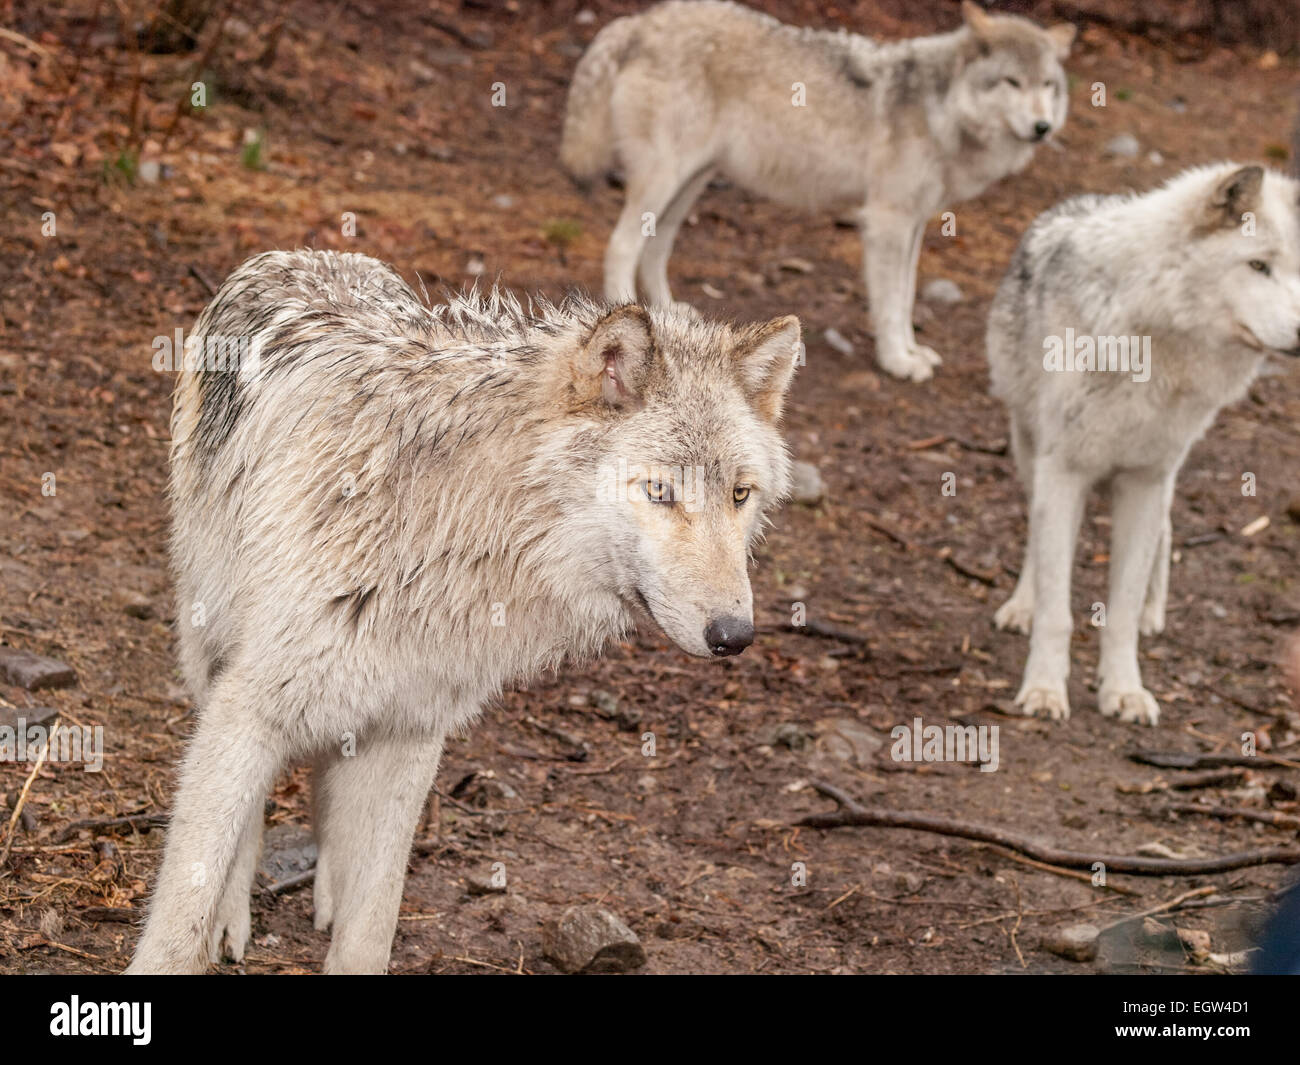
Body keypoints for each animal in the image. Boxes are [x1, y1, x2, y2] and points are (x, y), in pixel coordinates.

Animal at [126, 249, 801, 973]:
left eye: (740, 494)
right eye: (659, 491)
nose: (734, 635)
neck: (456, 529)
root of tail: (301, 254)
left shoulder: (413, 730)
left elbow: (374, 917)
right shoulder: (249, 706)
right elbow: (183, 906)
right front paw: (197, 931)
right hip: (213, 651)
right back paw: (233, 916)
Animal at [560, 0, 1074, 382]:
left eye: (1048, 85)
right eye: (1012, 82)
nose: (1043, 127)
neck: (939, 110)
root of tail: (641, 21)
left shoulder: (914, 225)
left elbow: (906, 295)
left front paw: (911, 352)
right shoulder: (887, 222)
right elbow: (890, 304)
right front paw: (896, 361)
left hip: (691, 183)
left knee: (656, 245)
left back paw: (666, 314)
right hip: (665, 178)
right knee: (621, 245)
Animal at [988, 163, 1300, 726]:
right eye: (1258, 265)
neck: (1157, 340)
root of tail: (1078, 198)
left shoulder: (1146, 480)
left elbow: (1123, 610)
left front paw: (1124, 690)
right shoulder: (1063, 471)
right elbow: (1056, 608)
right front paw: (1044, 689)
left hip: (1168, 472)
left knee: (1166, 532)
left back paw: (1155, 613)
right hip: (1029, 450)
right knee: (1036, 541)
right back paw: (1021, 605)